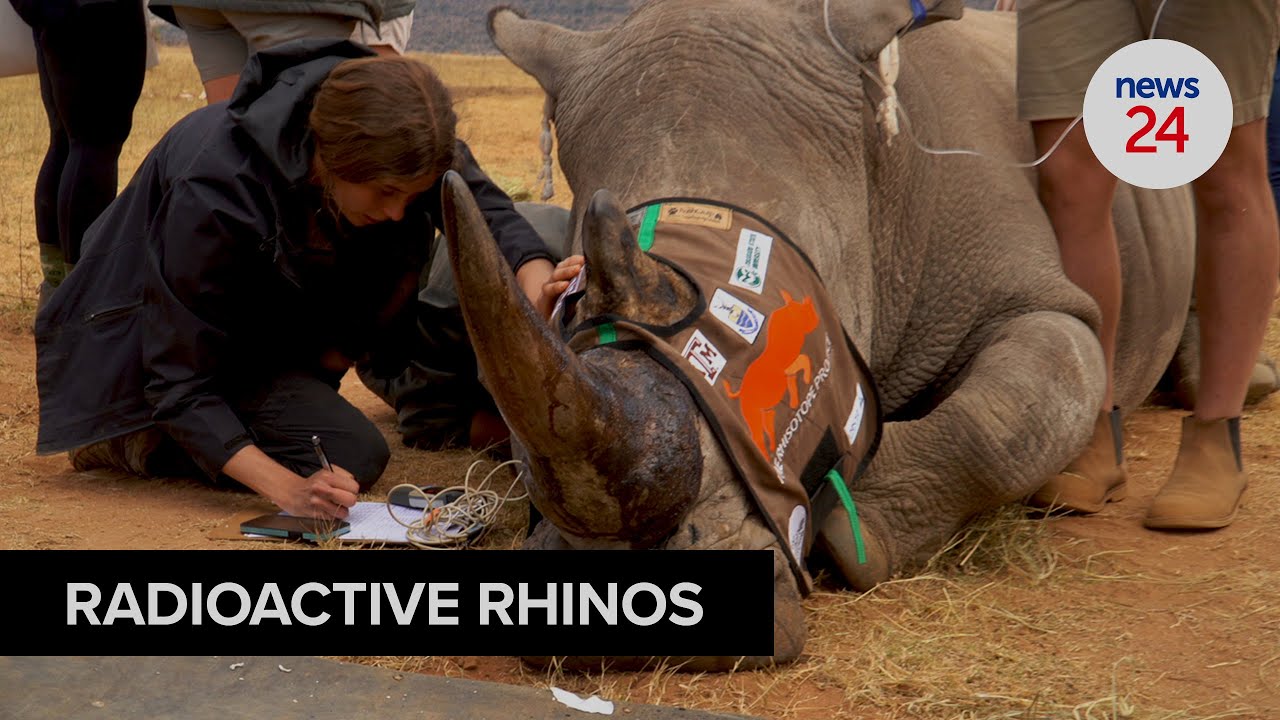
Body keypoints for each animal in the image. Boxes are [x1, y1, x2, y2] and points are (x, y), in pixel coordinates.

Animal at [437, 1, 1208, 667]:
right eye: (570, 315)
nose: (615, 608)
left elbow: (1023, 405)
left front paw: (847, 532)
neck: (878, 181)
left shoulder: (1029, 294)